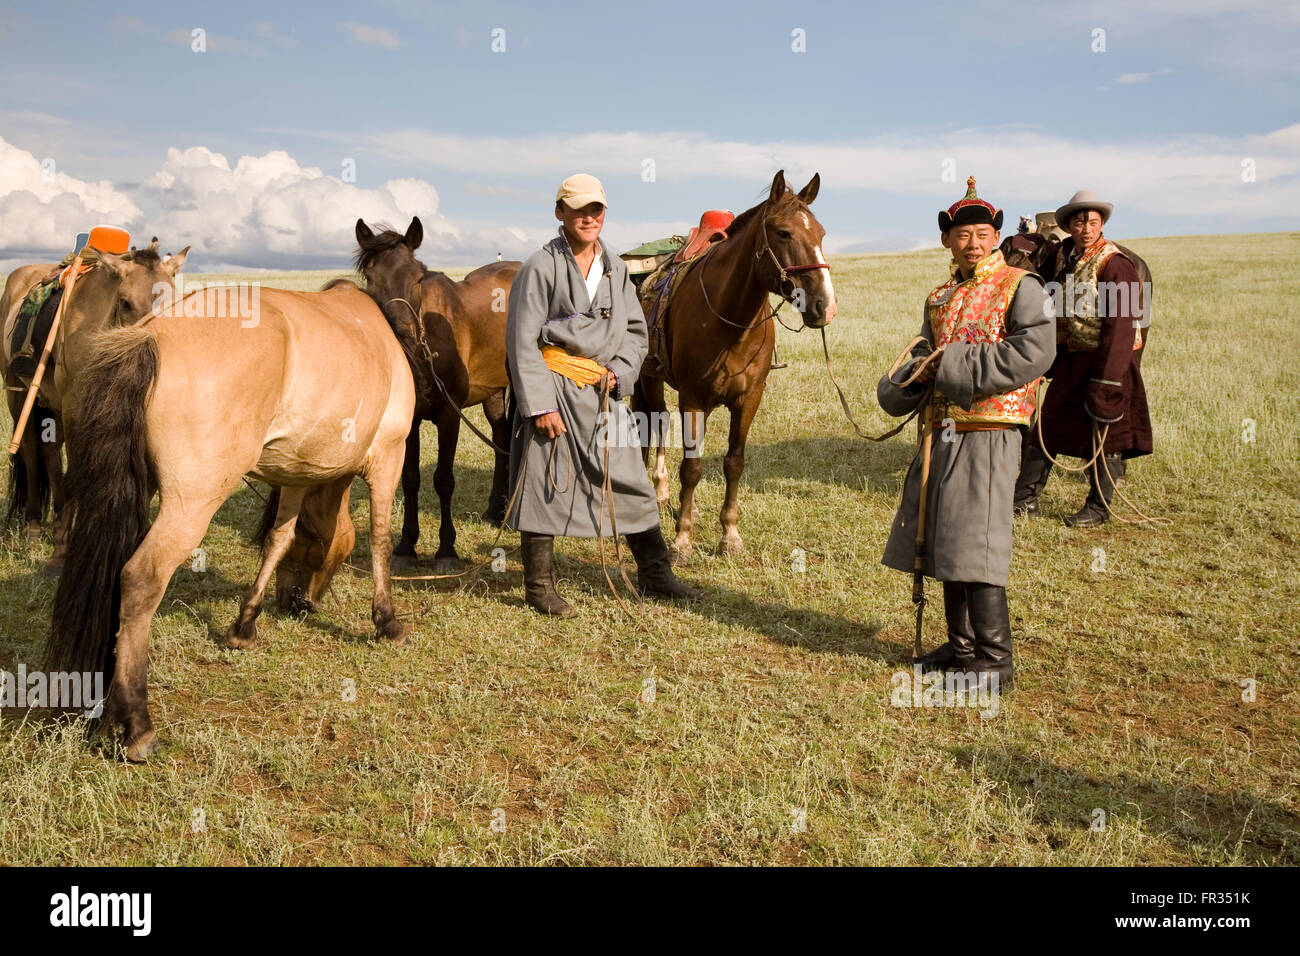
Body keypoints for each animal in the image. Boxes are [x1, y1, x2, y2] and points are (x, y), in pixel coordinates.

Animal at [45, 278, 415, 761]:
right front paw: (387, 622)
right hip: (191, 505)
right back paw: (136, 722)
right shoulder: (390, 455)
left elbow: (277, 538)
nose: (299, 602)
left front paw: (245, 625)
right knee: (141, 579)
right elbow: (381, 541)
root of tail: (153, 336)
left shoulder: (295, 474)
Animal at [353, 217, 520, 572]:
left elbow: (443, 480)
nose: (404, 338)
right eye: (371, 279)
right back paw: (494, 510)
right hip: (493, 391)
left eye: (417, 278)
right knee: (501, 437)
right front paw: (406, 545)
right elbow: (411, 479)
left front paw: (446, 549)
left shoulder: (449, 417)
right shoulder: (412, 421)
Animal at [631, 170, 837, 564]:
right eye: (783, 232)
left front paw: (729, 535)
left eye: (821, 234)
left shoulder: (749, 398)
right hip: (650, 379)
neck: (731, 320)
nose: (825, 306)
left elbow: (733, 463)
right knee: (655, 421)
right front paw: (681, 541)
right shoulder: (692, 397)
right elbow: (692, 467)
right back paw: (660, 492)